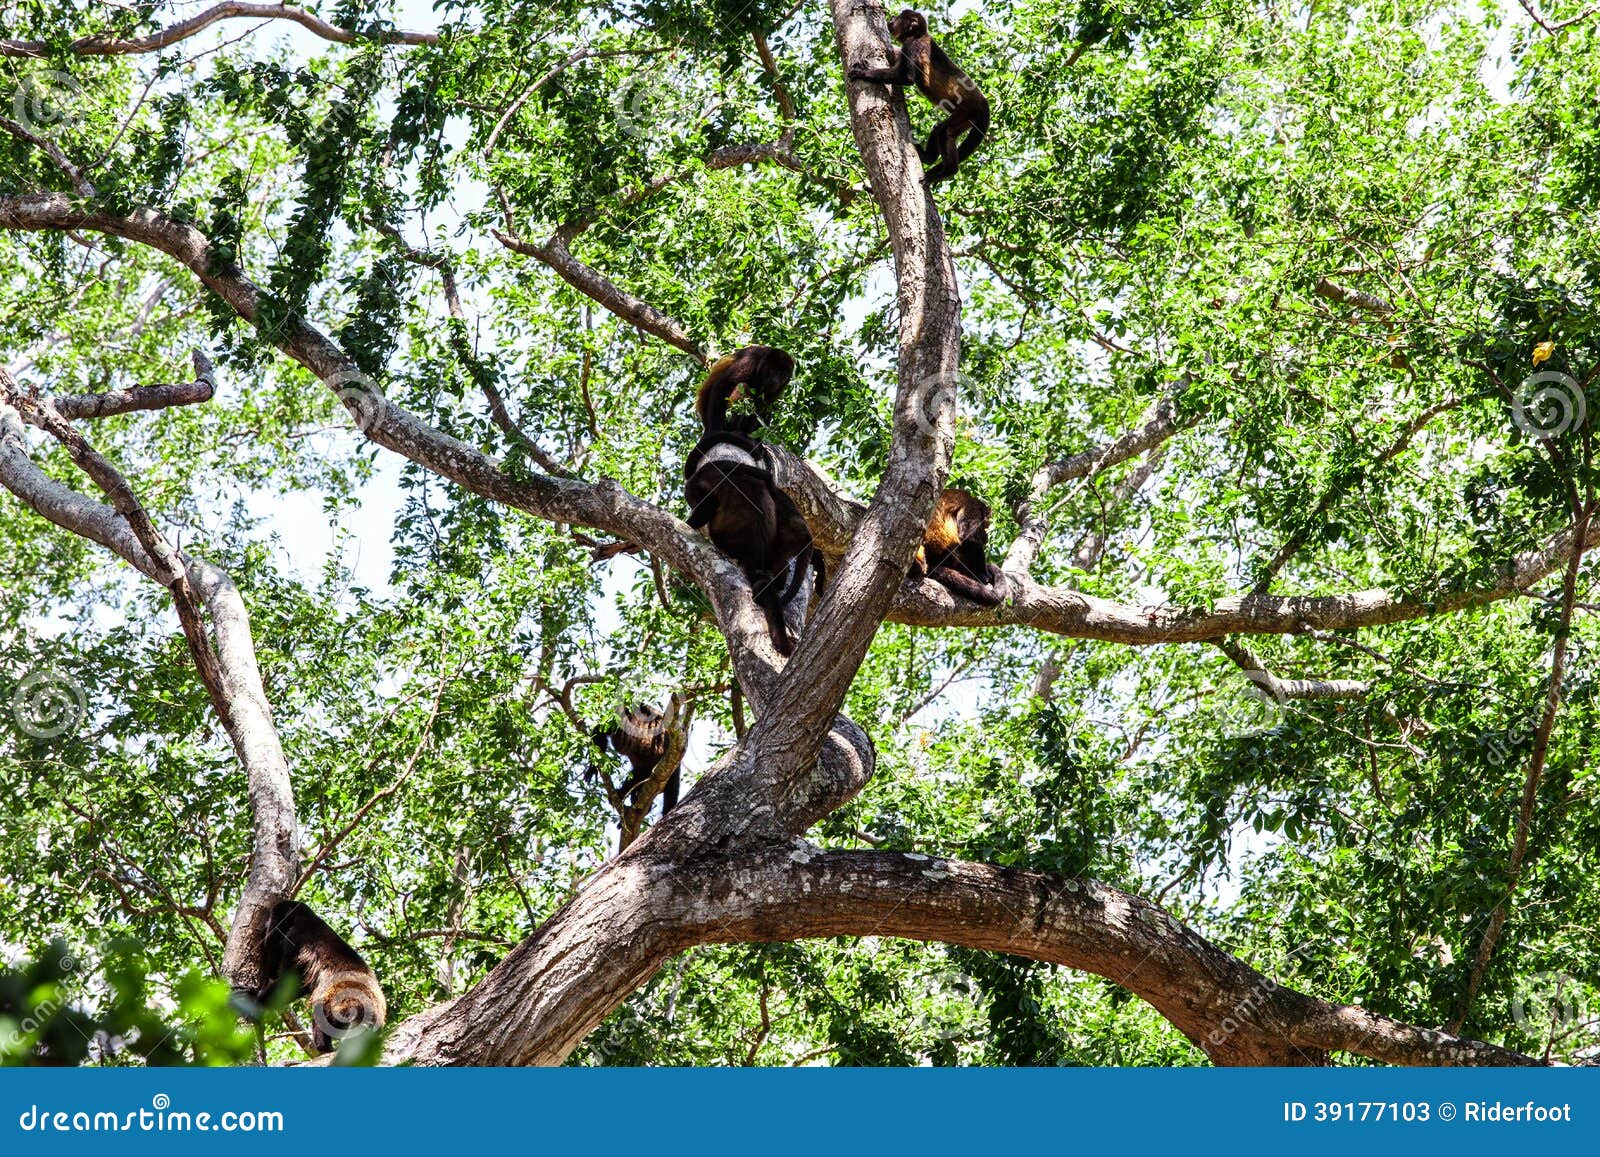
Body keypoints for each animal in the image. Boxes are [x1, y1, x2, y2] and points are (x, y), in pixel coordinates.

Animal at [254, 900, 386, 1054]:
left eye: (272, 916)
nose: (266, 924)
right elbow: (299, 985)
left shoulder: (295, 936)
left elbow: (289, 978)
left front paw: (258, 998)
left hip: (339, 999)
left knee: (321, 1010)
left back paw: (323, 1046)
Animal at [683, 346, 822, 656]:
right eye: (774, 371)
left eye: (783, 375)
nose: (776, 380)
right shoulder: (753, 362)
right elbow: (726, 387)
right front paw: (717, 430)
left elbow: (766, 406)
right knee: (740, 392)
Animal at [847, 9, 990, 185]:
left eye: (899, 17)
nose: (892, 18)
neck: (918, 34)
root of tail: (985, 103)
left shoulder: (913, 46)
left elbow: (907, 77)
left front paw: (863, 73)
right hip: (968, 118)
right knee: (940, 130)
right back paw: (928, 158)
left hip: (968, 108)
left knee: (945, 131)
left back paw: (948, 170)